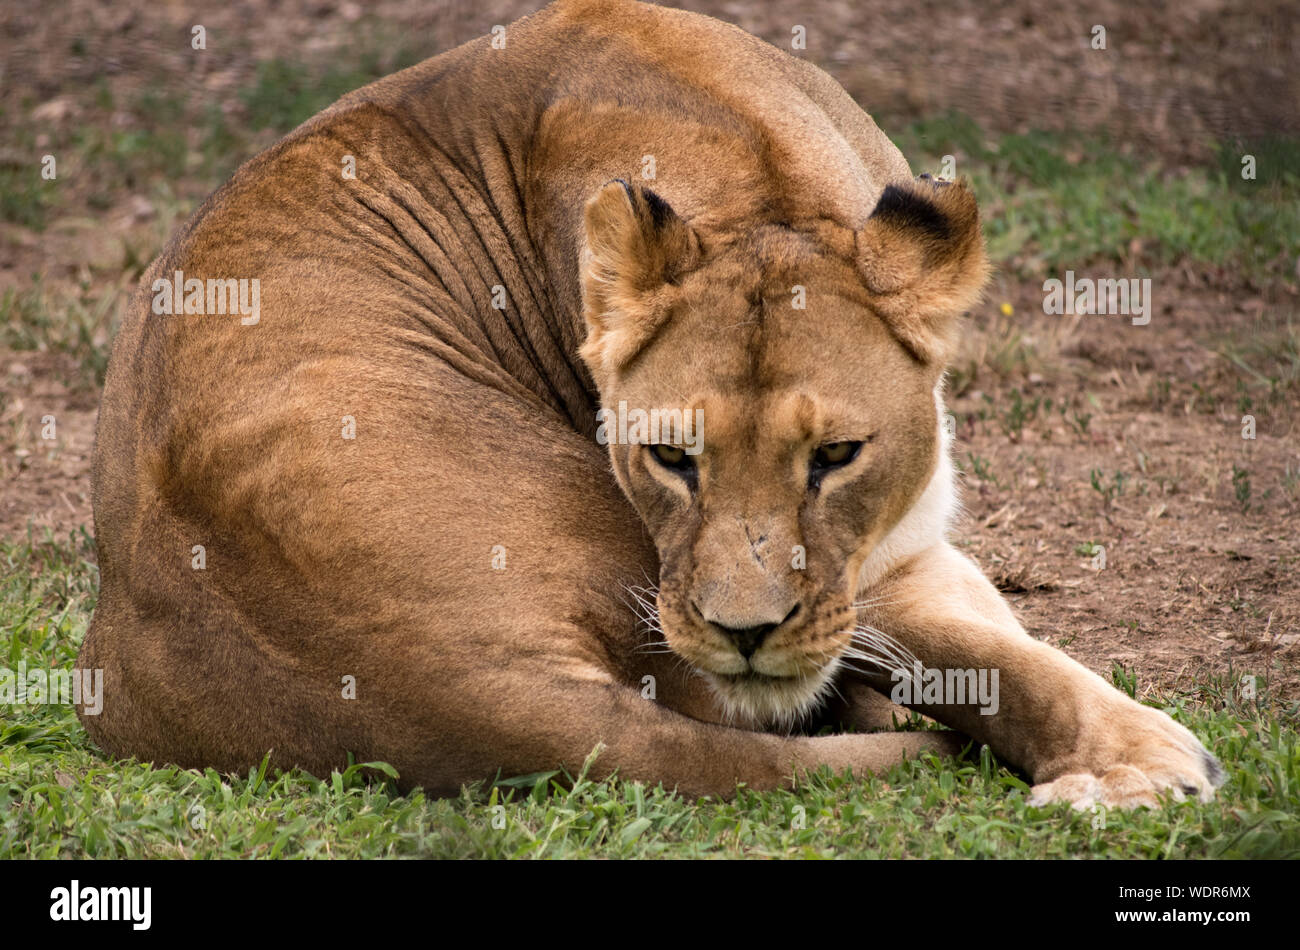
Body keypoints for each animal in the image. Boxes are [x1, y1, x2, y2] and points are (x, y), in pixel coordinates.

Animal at [76, 0, 1223, 808]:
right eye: (670, 458)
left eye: (836, 455)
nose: (745, 630)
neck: (758, 187)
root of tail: (465, 690)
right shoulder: (873, 572)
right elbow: (976, 651)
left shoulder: (892, 548)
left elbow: (997, 647)